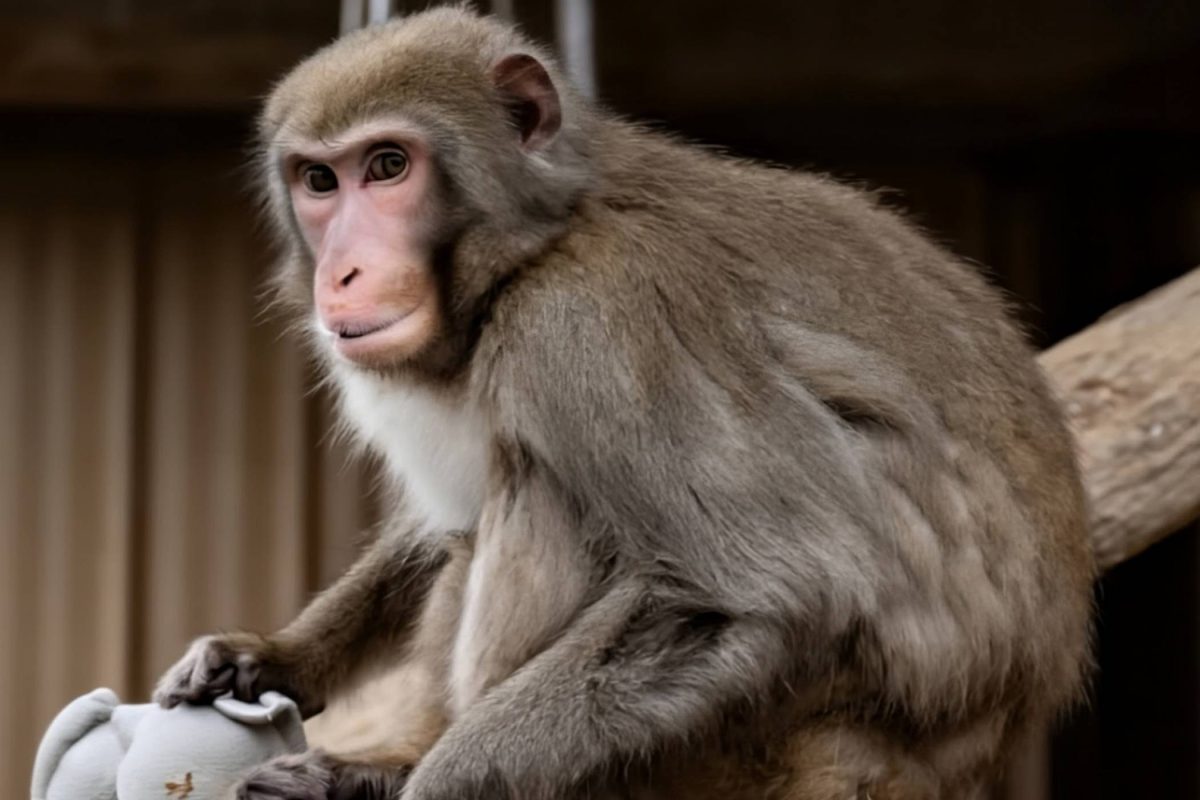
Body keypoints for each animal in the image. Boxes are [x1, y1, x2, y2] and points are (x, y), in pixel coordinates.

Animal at [153, 7, 1094, 799]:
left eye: (388, 166)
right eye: (320, 181)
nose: (340, 271)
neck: (539, 239)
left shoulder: (586, 317)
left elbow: (773, 587)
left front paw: (428, 783)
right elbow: (434, 529)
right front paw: (274, 656)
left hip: (742, 753)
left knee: (538, 484)